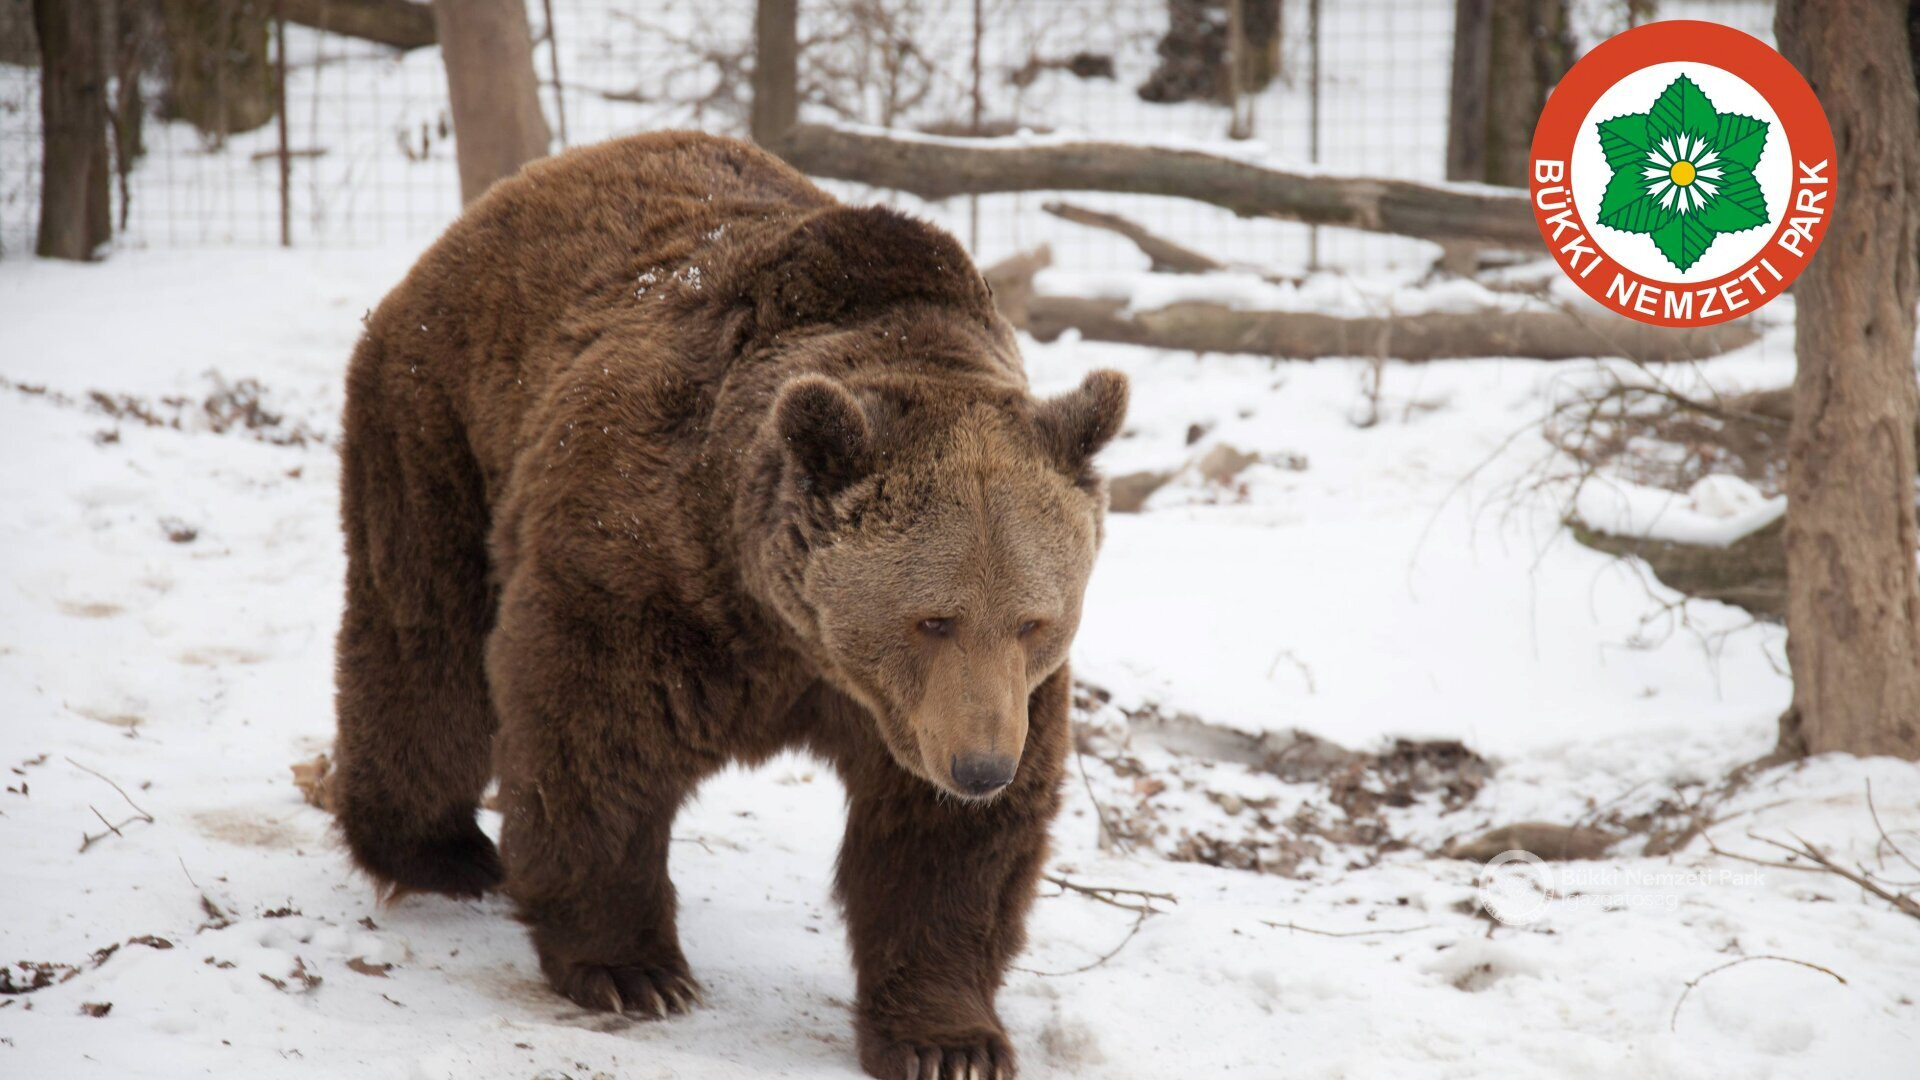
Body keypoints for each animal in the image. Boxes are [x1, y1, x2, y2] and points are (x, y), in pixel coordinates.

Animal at [330, 131, 1127, 1080]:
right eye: (932, 618)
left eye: (1034, 620)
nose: (979, 767)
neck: (788, 626)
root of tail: (518, 189)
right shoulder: (645, 568)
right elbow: (595, 740)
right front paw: (632, 968)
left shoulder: (966, 702)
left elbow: (945, 851)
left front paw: (949, 1039)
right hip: (442, 422)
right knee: (429, 649)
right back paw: (436, 847)